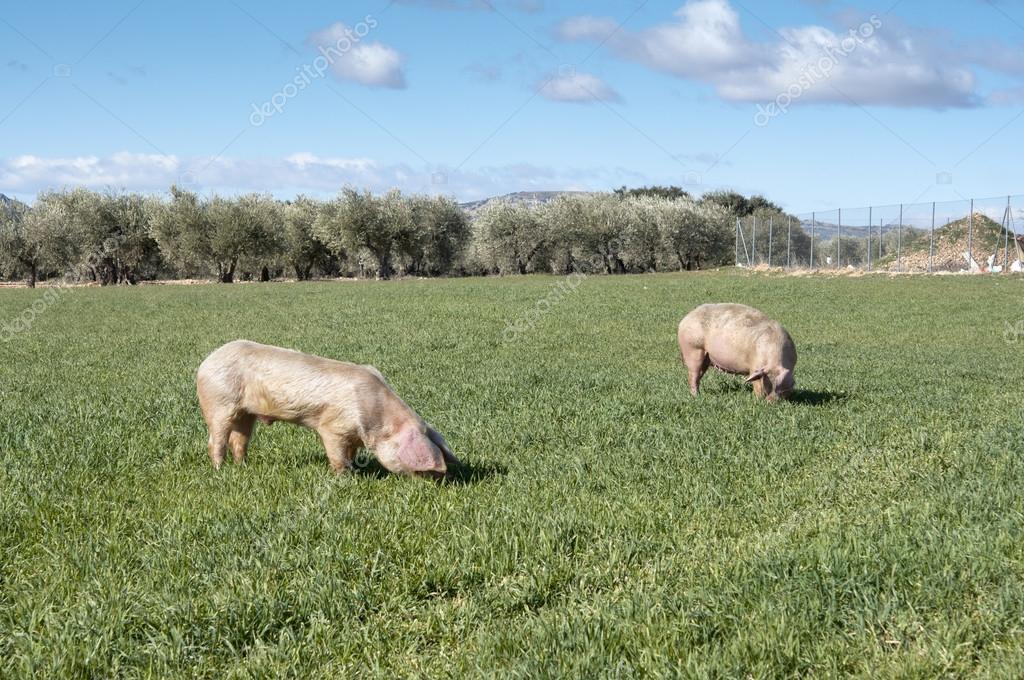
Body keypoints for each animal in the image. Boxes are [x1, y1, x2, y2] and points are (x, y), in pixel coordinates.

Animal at [196, 340, 459, 477]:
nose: (438, 480)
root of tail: (205, 362)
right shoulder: (333, 427)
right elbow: (337, 454)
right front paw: (344, 478)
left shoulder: (353, 435)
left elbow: (350, 454)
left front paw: (353, 471)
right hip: (218, 402)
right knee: (216, 440)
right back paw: (219, 470)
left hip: (246, 413)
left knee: (239, 440)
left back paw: (243, 467)